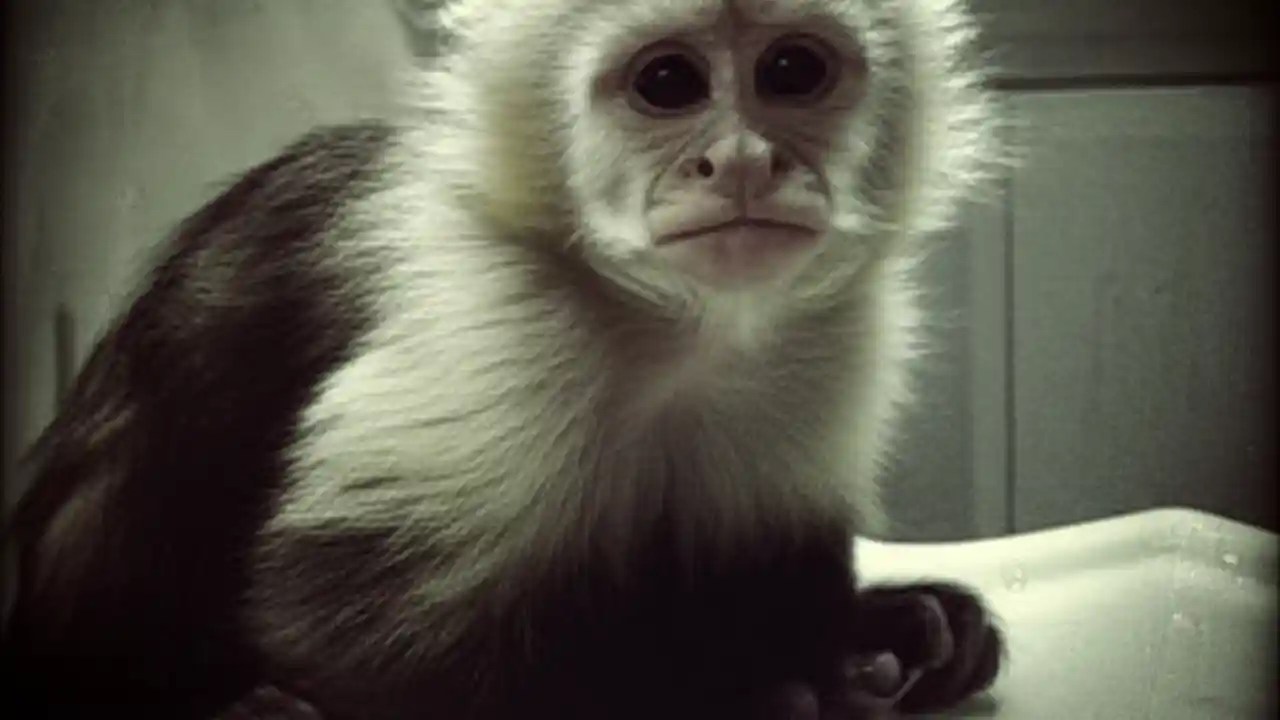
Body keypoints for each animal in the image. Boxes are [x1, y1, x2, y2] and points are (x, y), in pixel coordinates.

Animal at [1, 0, 1006, 718]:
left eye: (793, 70)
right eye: (669, 81)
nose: (742, 161)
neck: (670, 324)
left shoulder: (844, 327)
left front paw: (880, 635)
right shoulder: (489, 316)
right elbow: (361, 651)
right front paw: (749, 684)